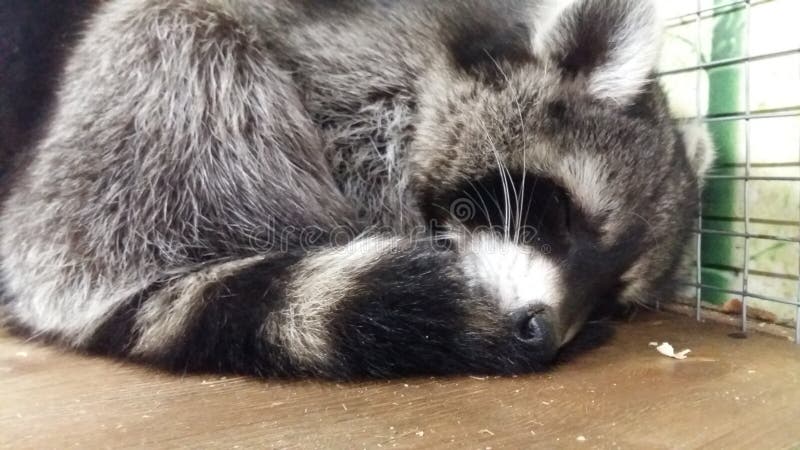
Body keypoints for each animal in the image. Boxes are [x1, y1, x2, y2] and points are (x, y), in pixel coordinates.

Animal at [0, 0, 712, 378]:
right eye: (564, 215)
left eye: (611, 296)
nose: (539, 333)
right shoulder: (355, 54)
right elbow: (354, 127)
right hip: (138, 128)